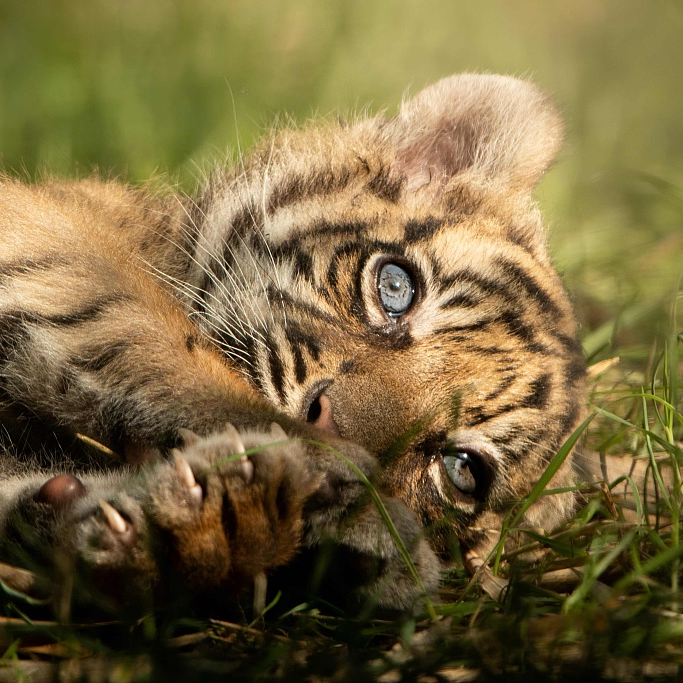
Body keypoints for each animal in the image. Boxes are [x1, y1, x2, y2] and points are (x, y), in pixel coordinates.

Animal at [0, 73, 585, 615]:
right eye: (396, 287)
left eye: (462, 469)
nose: (325, 421)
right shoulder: (59, 244)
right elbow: (164, 349)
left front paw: (203, 532)